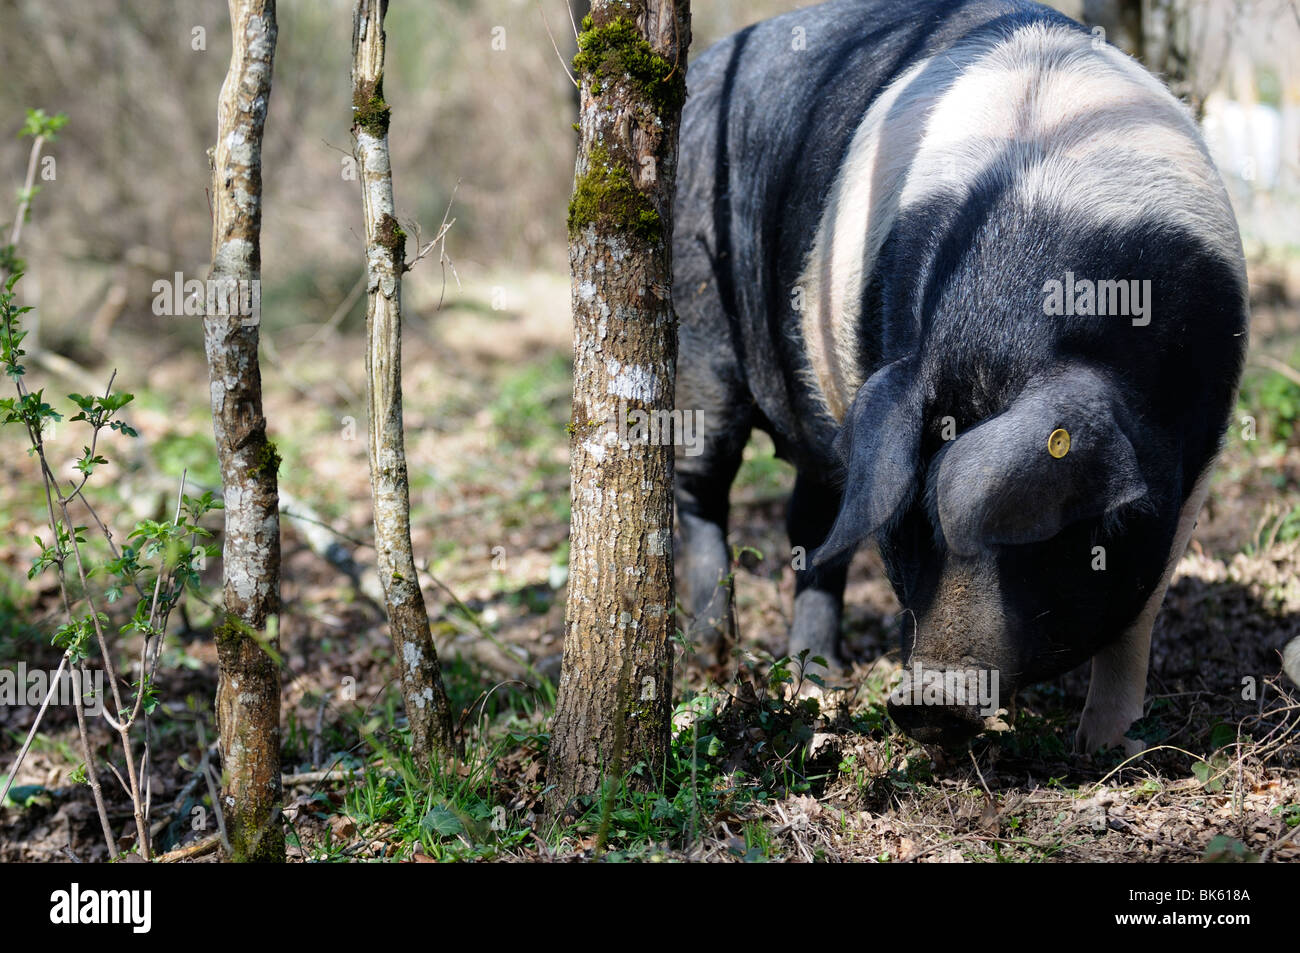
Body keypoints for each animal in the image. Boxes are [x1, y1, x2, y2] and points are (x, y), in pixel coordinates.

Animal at [671, 0, 1248, 752]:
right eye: (915, 522)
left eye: (1049, 532)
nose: (930, 699)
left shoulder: (1198, 449)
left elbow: (1139, 612)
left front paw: (1106, 747)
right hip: (695, 314)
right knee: (702, 486)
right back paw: (713, 655)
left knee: (815, 522)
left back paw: (819, 672)